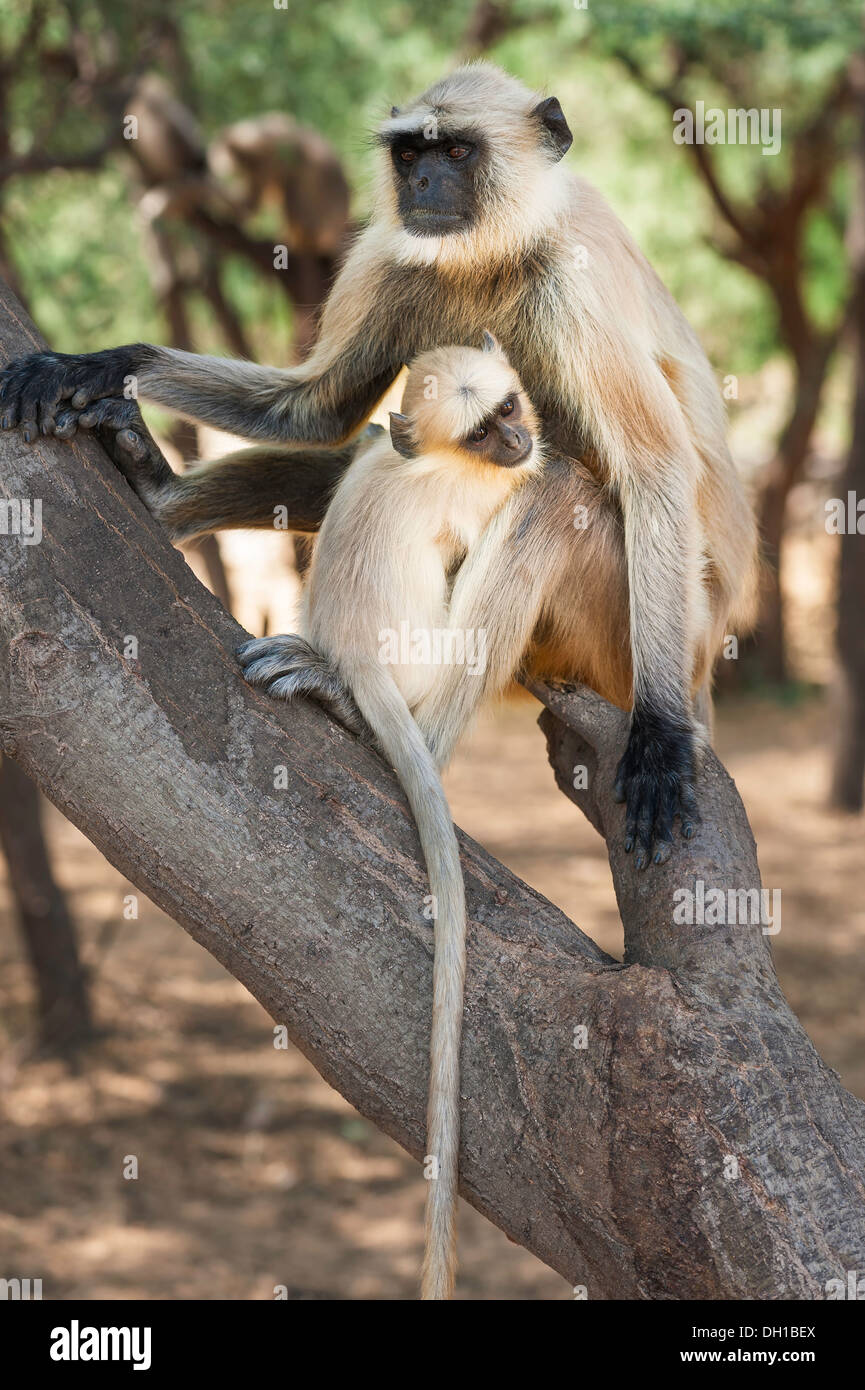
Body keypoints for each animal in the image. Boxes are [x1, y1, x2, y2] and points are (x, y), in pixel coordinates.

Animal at [0, 59, 758, 871]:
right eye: (409, 153)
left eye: (455, 152)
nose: (421, 183)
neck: (494, 249)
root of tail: (704, 657)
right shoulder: (389, 258)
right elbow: (316, 409)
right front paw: (100, 365)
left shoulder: (573, 278)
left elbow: (653, 468)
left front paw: (659, 739)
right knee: (367, 447)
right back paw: (157, 492)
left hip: (619, 641)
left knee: (555, 492)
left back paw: (388, 725)